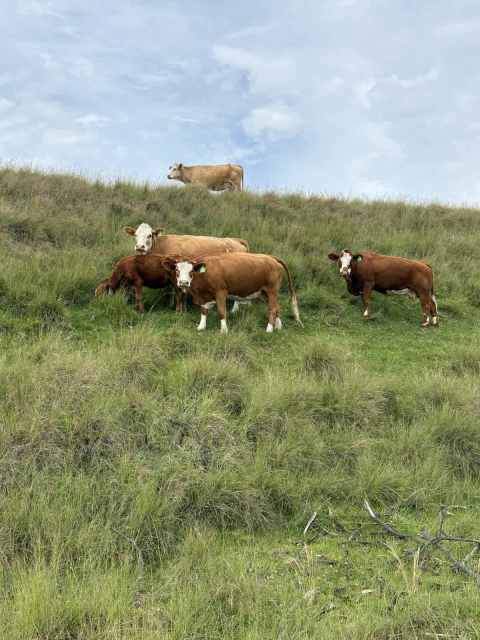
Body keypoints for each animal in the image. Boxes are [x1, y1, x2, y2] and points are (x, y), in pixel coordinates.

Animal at [163, 253, 302, 334]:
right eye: (177, 270)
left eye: (191, 271)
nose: (183, 282)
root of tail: (272, 258)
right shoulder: (204, 297)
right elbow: (203, 311)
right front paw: (201, 327)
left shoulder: (221, 292)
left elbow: (221, 312)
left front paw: (224, 330)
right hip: (264, 293)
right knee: (277, 307)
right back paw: (278, 326)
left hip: (272, 290)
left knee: (273, 309)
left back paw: (269, 329)